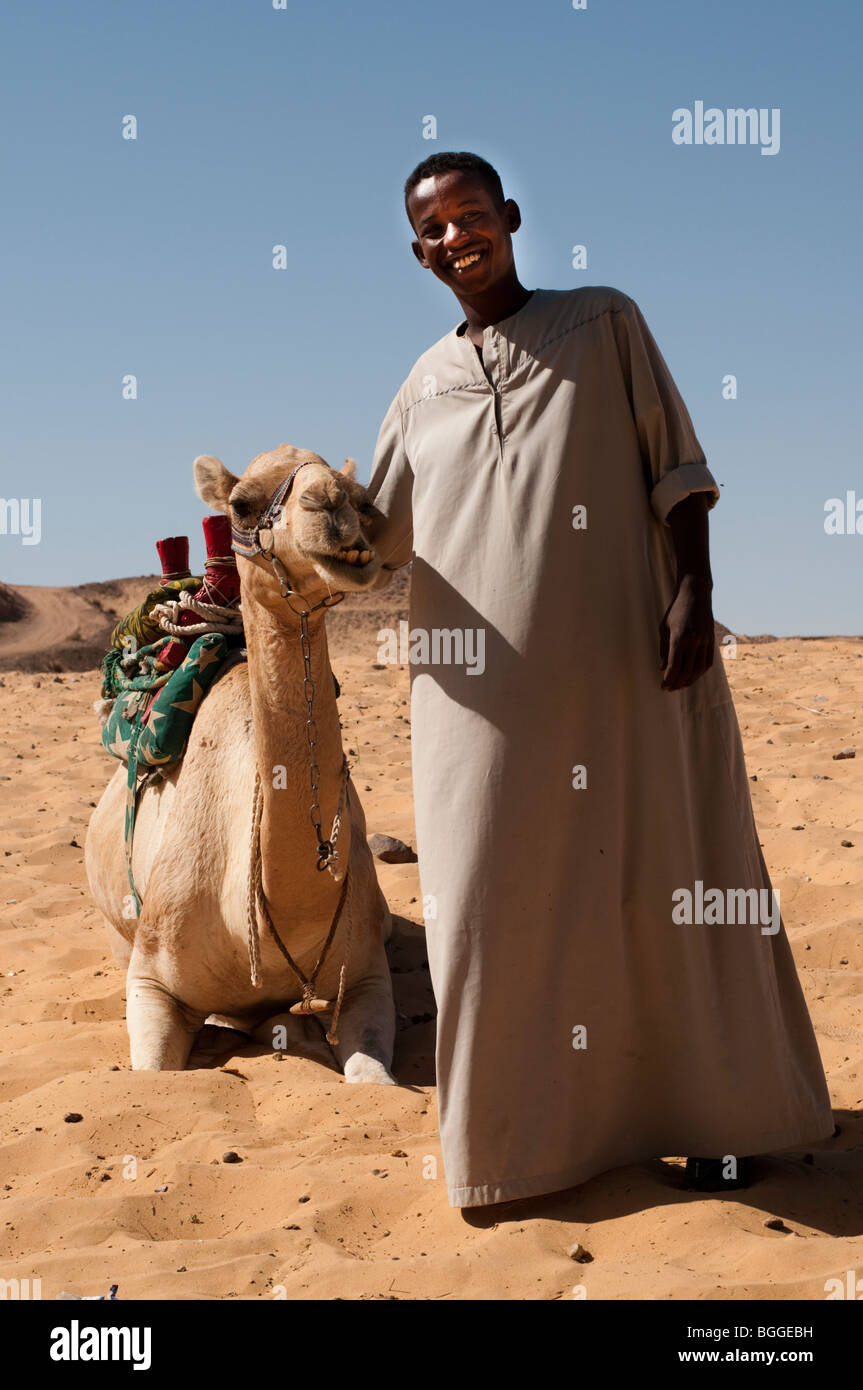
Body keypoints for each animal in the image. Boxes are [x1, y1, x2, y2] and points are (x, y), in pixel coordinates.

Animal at [85, 446, 396, 1083]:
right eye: (241, 504)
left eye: (360, 496)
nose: (330, 502)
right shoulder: (149, 978)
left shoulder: (366, 977)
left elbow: (378, 1081)